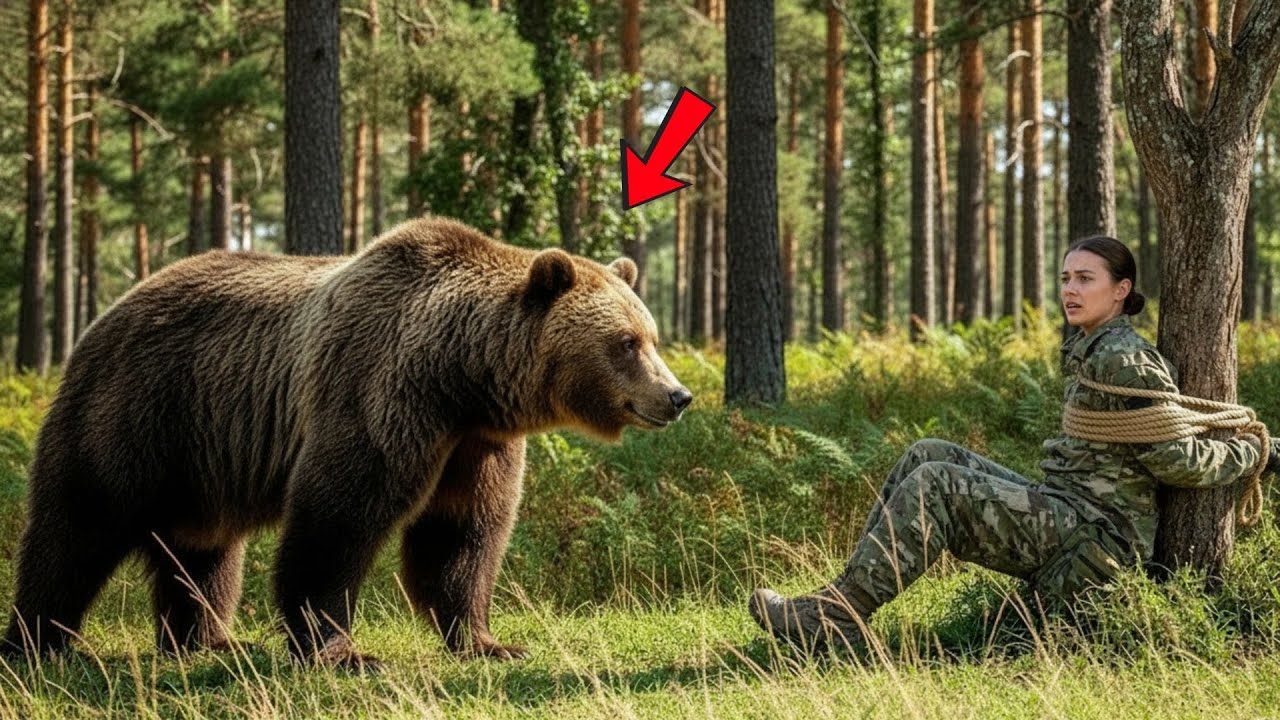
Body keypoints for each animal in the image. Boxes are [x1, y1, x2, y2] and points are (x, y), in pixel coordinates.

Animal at [2, 217, 691, 668]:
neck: (462, 378)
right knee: (75, 527)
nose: (676, 396)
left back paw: (210, 639)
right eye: (625, 342)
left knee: (201, 547)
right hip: (136, 412)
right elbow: (337, 520)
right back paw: (38, 642)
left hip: (202, 453)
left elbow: (461, 534)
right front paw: (342, 651)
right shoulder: (380, 395)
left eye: (652, 335)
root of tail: (105, 313)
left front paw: (490, 641)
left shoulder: (475, 444)